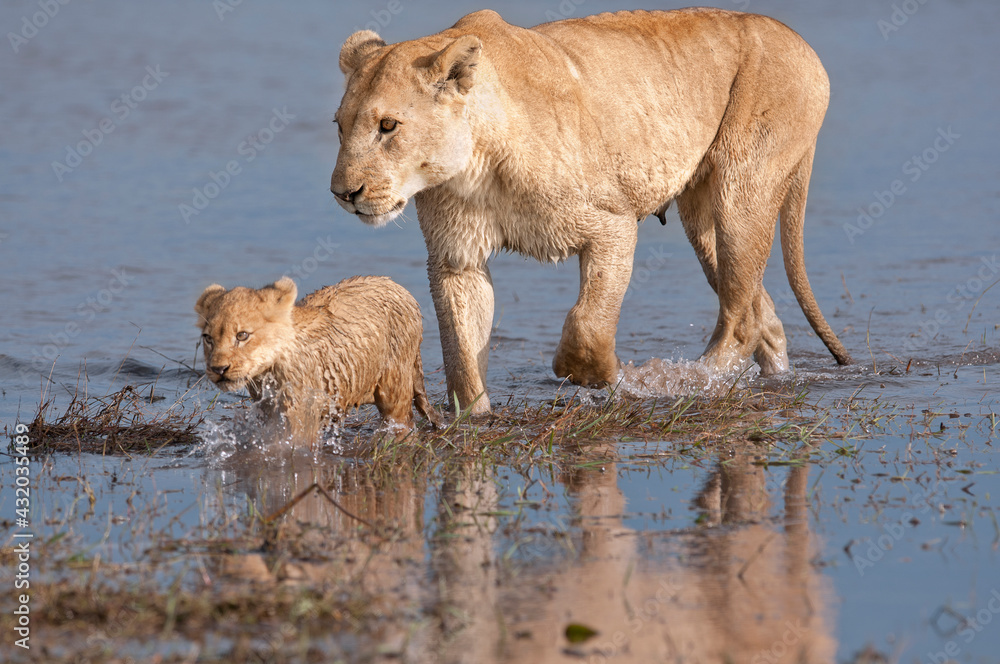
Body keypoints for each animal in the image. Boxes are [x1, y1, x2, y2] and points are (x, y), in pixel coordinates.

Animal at [194, 276, 441, 436]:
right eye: (208, 338)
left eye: (242, 335)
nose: (218, 370)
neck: (268, 371)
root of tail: (398, 287)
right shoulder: (268, 411)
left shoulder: (301, 414)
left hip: (394, 389)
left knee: (403, 422)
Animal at [330, 8, 852, 415]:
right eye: (339, 125)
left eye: (388, 125)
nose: (342, 193)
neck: (476, 161)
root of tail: (796, 39)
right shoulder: (457, 256)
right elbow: (461, 350)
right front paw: (473, 419)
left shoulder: (611, 224)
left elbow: (588, 322)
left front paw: (604, 376)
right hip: (701, 217)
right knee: (762, 315)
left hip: (741, 189)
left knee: (741, 318)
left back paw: (688, 381)